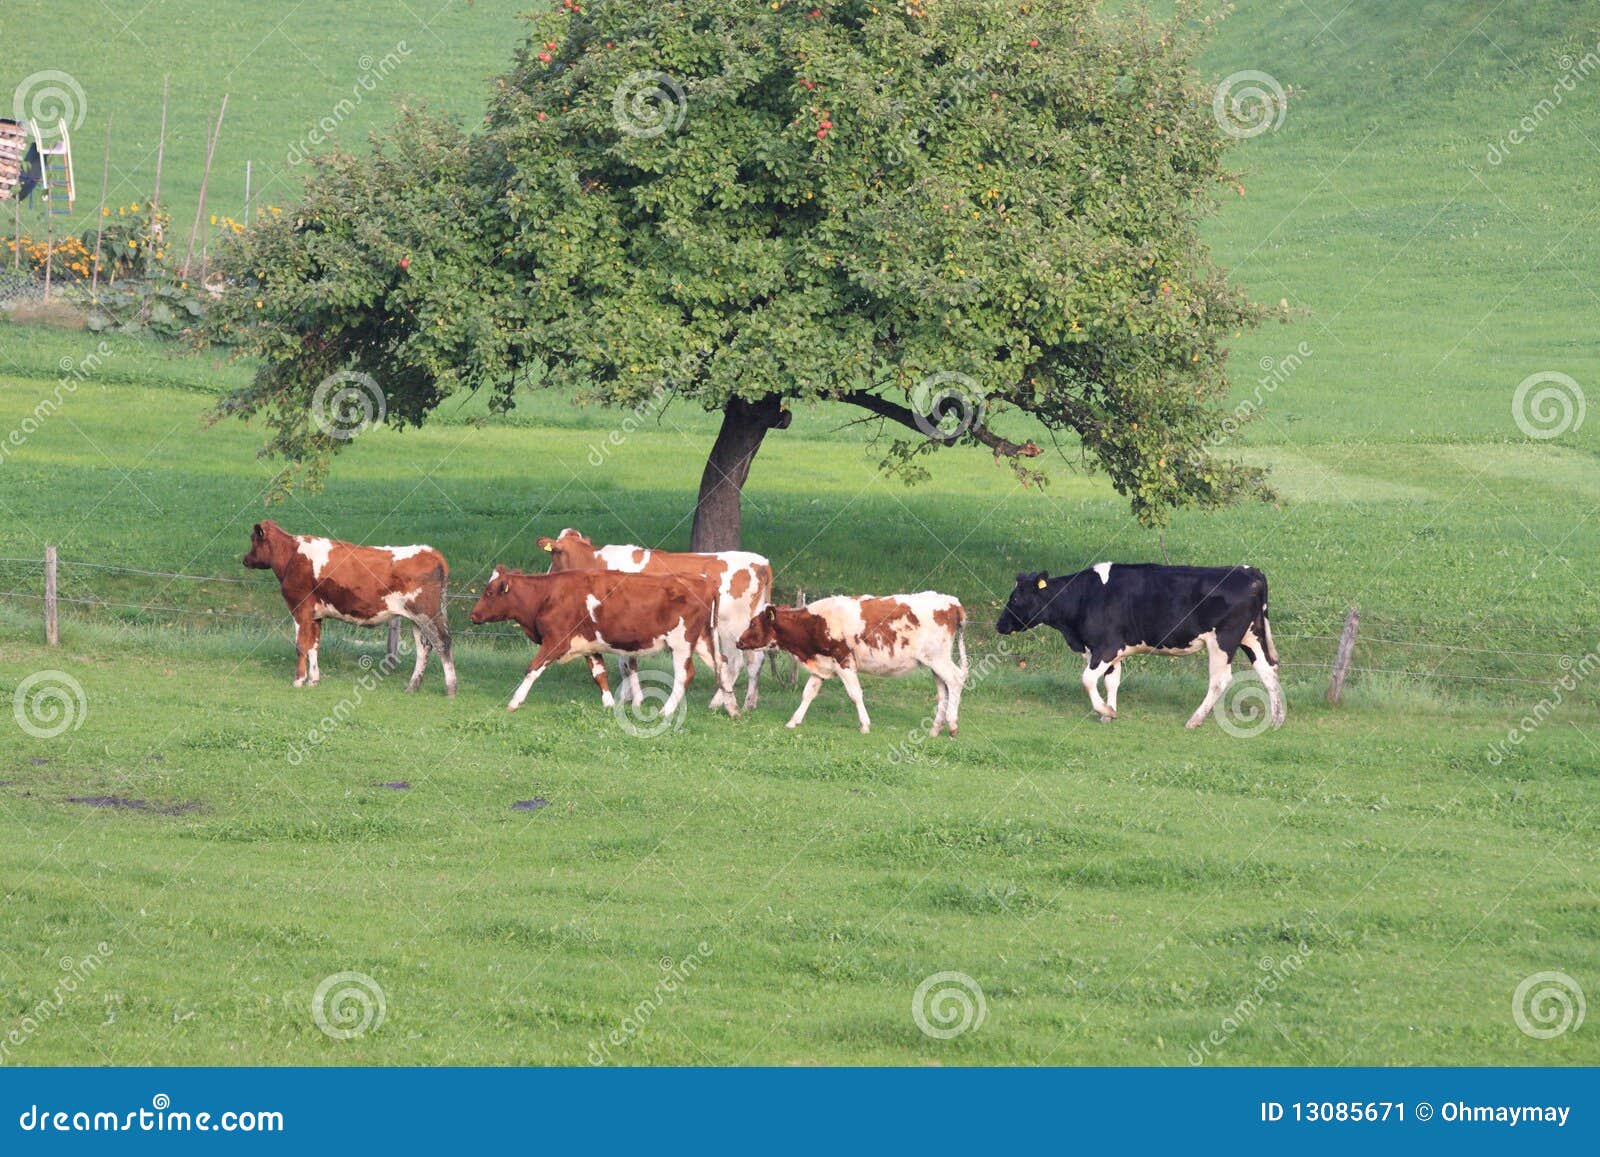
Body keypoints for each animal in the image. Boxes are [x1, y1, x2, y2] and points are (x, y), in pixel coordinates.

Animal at [242, 519, 457, 695]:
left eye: (253, 539)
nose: (245, 560)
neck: (292, 556)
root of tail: (431, 552)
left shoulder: (300, 609)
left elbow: (301, 646)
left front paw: (299, 680)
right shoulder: (315, 615)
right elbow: (313, 646)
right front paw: (314, 680)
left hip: (427, 613)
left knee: (442, 642)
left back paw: (451, 688)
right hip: (417, 618)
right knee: (424, 648)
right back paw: (412, 687)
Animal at [468, 568, 736, 718]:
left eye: (489, 593)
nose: (473, 615)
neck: (548, 595)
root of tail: (705, 581)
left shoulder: (556, 641)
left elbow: (532, 669)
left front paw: (515, 701)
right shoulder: (588, 644)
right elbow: (600, 675)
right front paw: (608, 705)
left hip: (681, 643)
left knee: (684, 675)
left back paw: (666, 711)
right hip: (703, 641)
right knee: (723, 666)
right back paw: (732, 708)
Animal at [536, 528, 772, 711]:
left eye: (553, 554)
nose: (546, 577)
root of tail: (761, 562)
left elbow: (627, 664)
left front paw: (634, 700)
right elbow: (625, 663)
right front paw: (626, 697)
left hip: (730, 626)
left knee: (733, 662)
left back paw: (717, 702)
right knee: (755, 660)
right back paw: (749, 703)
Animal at [736, 593, 967, 735]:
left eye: (753, 623)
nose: (738, 641)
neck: (815, 622)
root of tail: (953, 603)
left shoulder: (844, 661)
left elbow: (855, 694)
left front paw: (864, 725)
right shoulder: (822, 664)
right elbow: (808, 693)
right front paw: (794, 721)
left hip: (939, 659)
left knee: (956, 680)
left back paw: (953, 725)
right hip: (934, 663)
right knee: (943, 691)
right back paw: (935, 728)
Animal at [995, 563, 1285, 729]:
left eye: (1016, 597)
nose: (999, 624)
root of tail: (1248, 571)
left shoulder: (1106, 646)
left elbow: (1087, 679)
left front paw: (1104, 710)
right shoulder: (1112, 650)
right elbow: (1112, 680)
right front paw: (1108, 713)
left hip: (1223, 640)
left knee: (1220, 679)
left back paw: (1195, 720)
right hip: (1252, 636)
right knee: (1268, 670)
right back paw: (1277, 720)